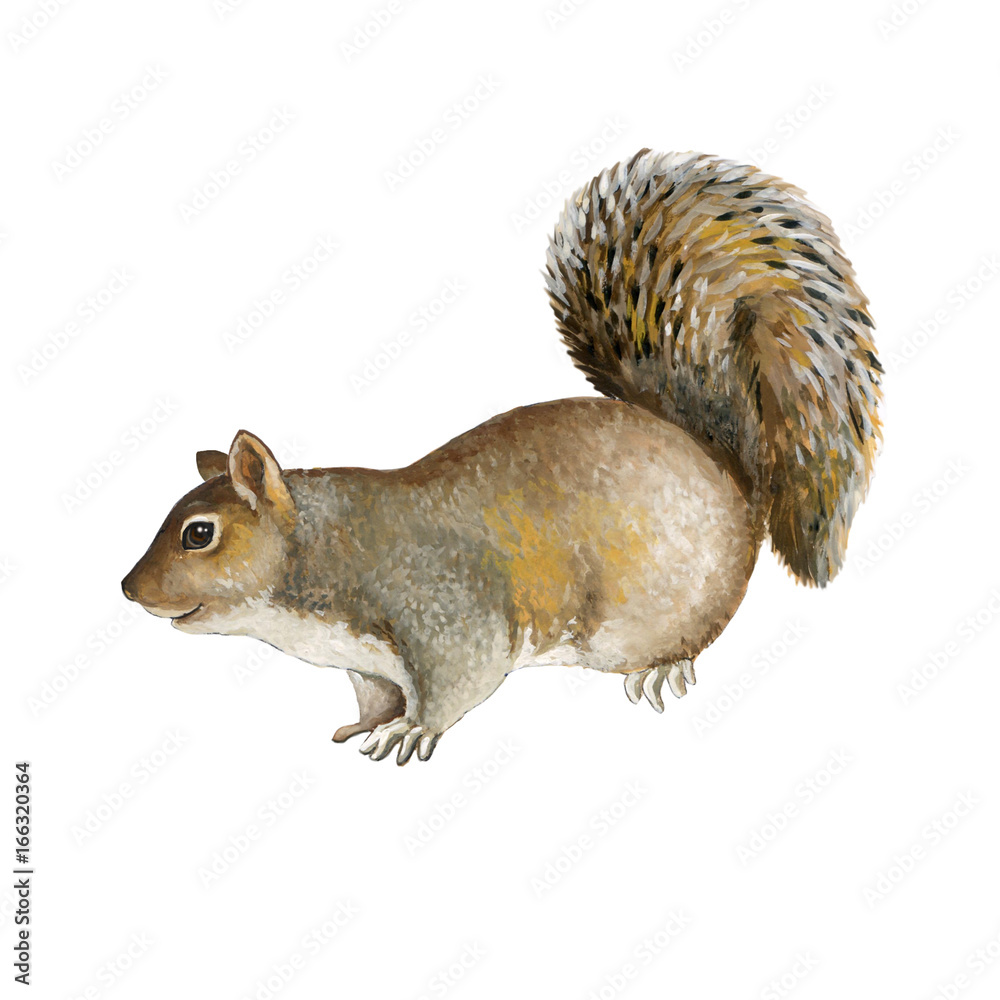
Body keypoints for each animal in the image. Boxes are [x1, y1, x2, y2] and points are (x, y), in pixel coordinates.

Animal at [122, 149, 882, 765]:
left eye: (199, 534)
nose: (129, 590)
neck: (327, 550)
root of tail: (731, 476)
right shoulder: (368, 665)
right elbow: (375, 697)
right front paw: (364, 726)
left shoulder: (446, 614)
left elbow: (454, 684)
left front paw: (411, 732)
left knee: (695, 636)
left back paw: (663, 666)